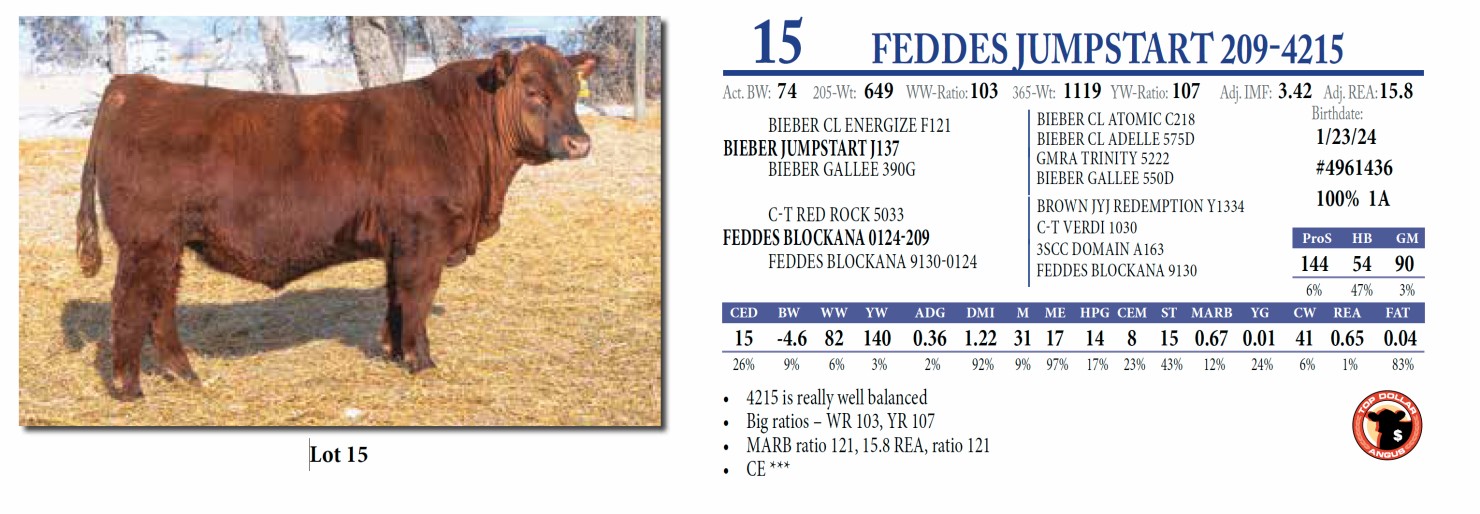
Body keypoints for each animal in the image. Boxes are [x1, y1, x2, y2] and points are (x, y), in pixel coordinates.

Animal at [75, 45, 598, 399]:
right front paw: (422, 361)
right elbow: (418, 298)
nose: (580, 142)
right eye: (533, 91)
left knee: (161, 302)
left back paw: (183, 373)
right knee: (130, 303)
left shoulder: (399, 241)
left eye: (573, 92)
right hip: (146, 240)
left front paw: (393, 351)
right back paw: (128, 387)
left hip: (168, 243)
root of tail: (131, 86)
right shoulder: (423, 238)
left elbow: (395, 297)